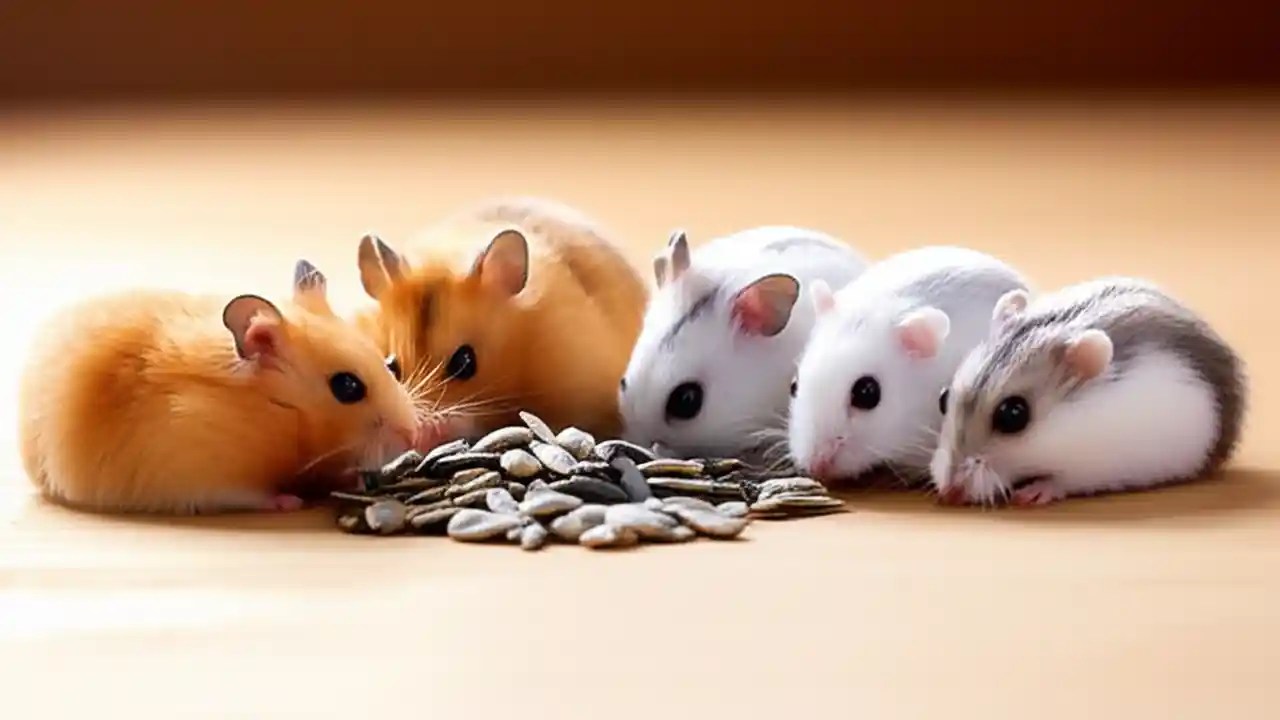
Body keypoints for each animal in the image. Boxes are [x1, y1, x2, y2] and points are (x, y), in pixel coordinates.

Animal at [17, 260, 419, 515]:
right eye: (347, 386)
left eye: (389, 365)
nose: (415, 435)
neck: (273, 411)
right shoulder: (195, 468)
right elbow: (250, 494)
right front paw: (291, 501)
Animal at [930, 277, 1247, 507]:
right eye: (943, 399)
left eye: (1013, 415)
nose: (947, 494)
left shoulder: (1090, 468)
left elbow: (1062, 481)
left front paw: (1030, 494)